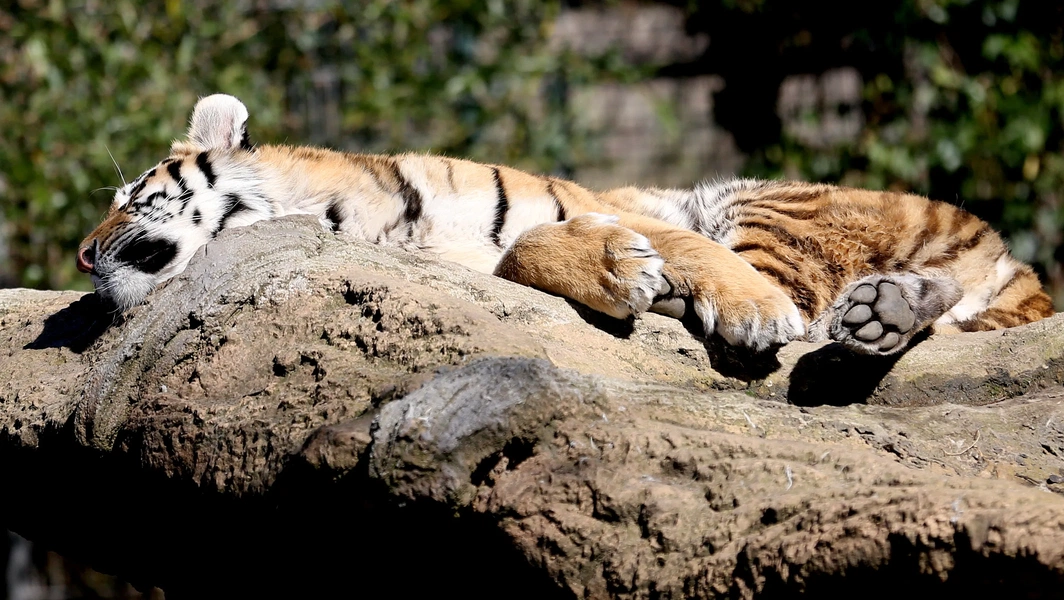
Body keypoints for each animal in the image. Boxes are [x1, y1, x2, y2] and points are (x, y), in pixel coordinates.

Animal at [76, 94, 1053, 356]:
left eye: (127, 196)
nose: (83, 256)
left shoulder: (632, 201)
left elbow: (679, 246)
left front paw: (742, 307)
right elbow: (521, 255)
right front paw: (626, 275)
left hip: (770, 200)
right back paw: (881, 313)